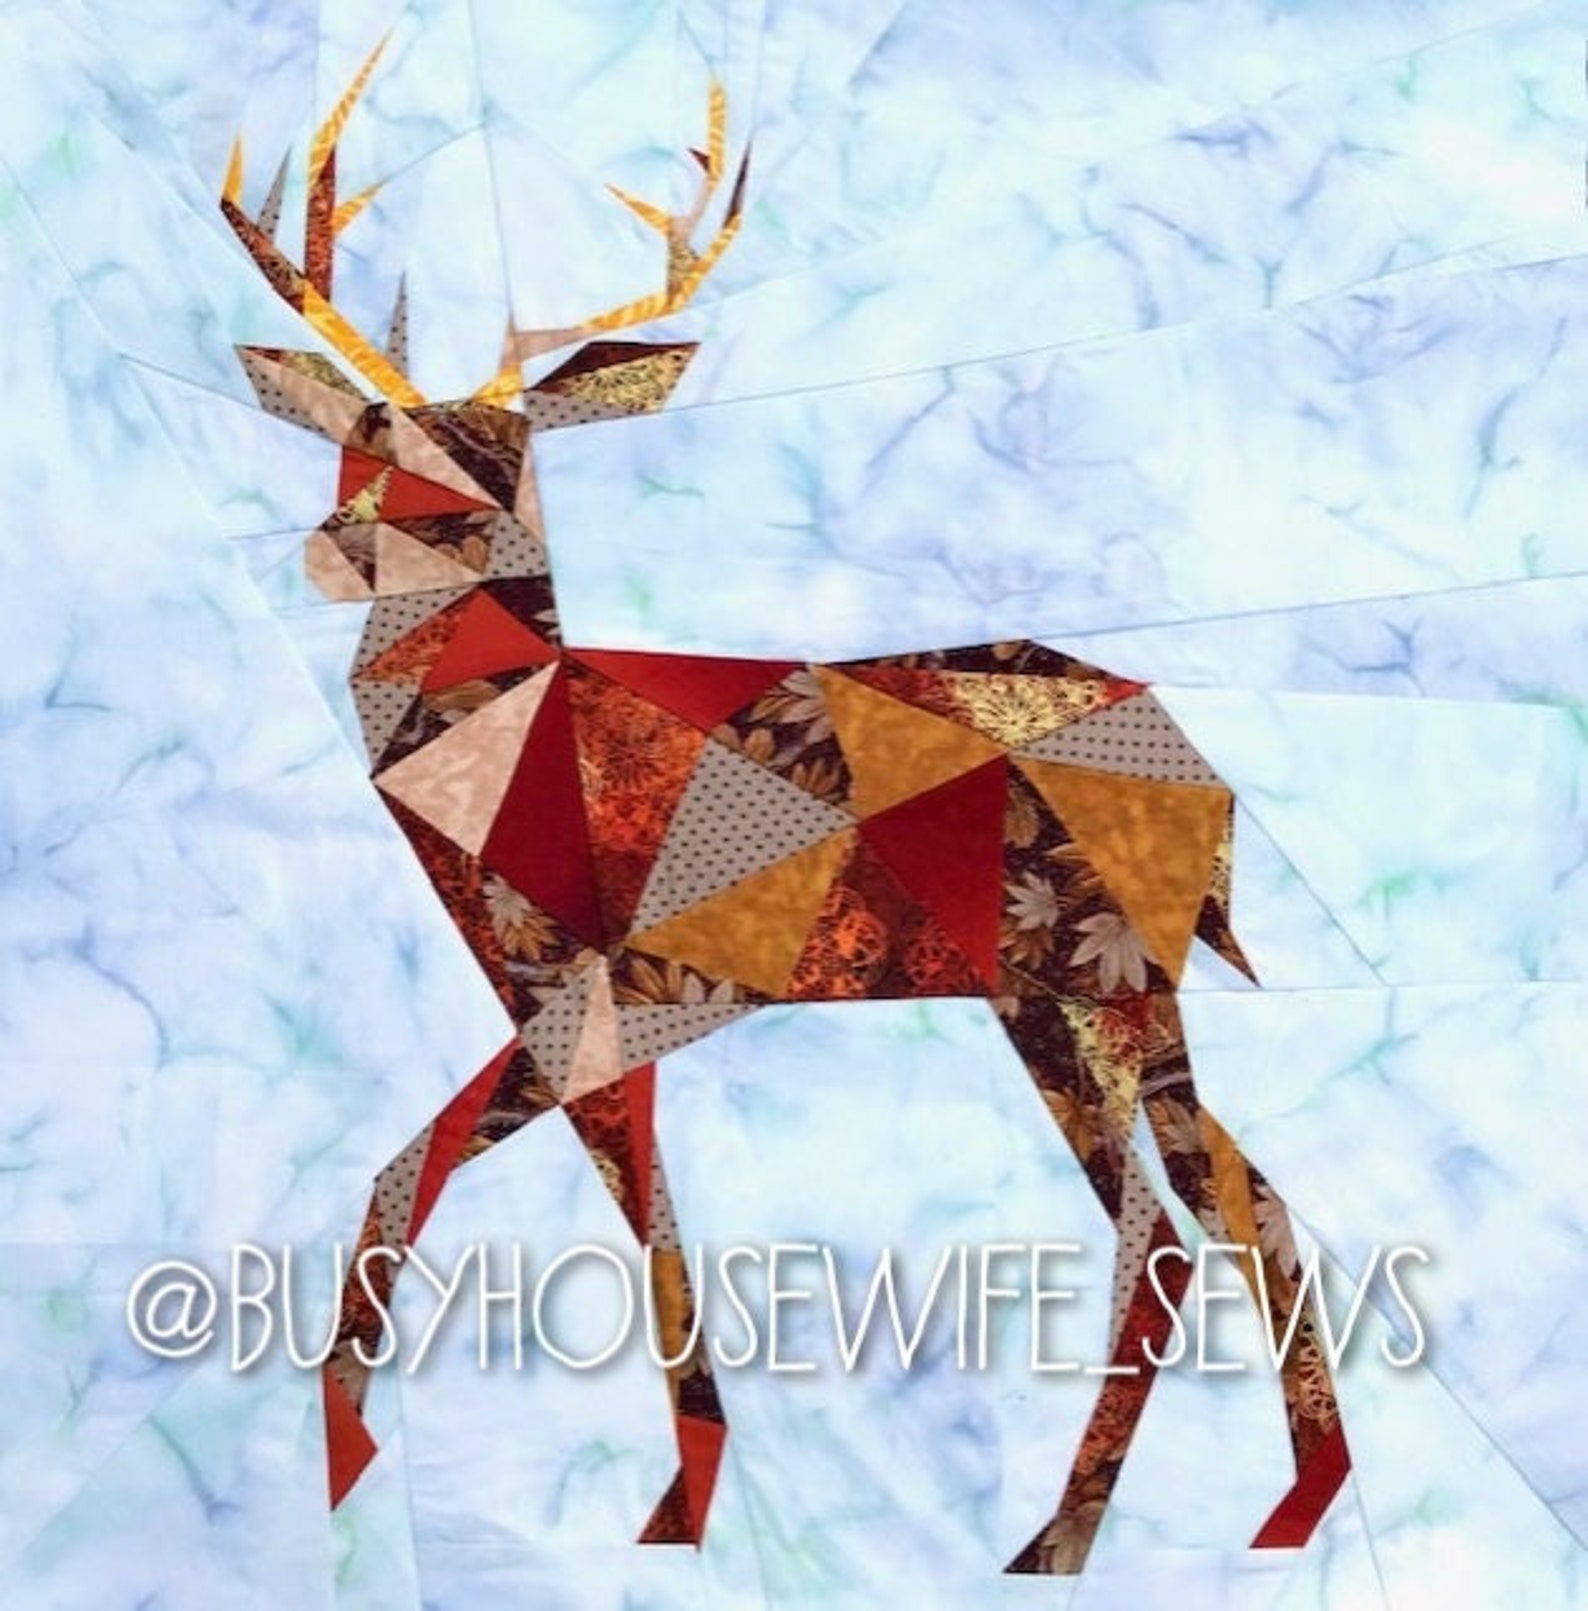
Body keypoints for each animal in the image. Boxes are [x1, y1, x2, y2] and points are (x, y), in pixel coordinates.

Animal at [218, 40, 1351, 1580]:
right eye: (362, 441)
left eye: (499, 458)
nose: (332, 551)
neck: (522, 737)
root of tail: (1206, 769)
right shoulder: (580, 1020)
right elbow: (598, 1212)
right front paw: (658, 1497)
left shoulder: (609, 996)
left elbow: (442, 1175)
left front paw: (401, 1465)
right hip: (1103, 1000)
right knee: (1245, 1202)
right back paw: (1277, 1512)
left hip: (1086, 982)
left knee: (1170, 1235)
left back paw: (1059, 1542)